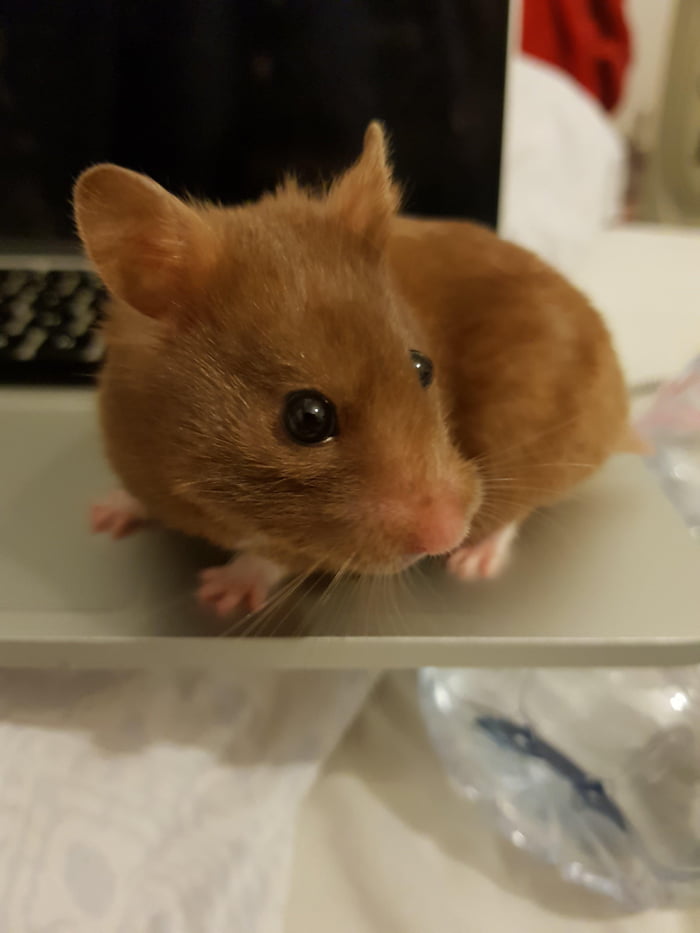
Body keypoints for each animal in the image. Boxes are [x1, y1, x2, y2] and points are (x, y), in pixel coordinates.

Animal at [73, 122, 631, 617]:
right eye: (307, 417)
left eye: (423, 367)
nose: (447, 535)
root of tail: (622, 406)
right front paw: (102, 515)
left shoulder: (313, 543)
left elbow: (273, 556)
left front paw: (217, 597)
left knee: (520, 506)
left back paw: (474, 562)